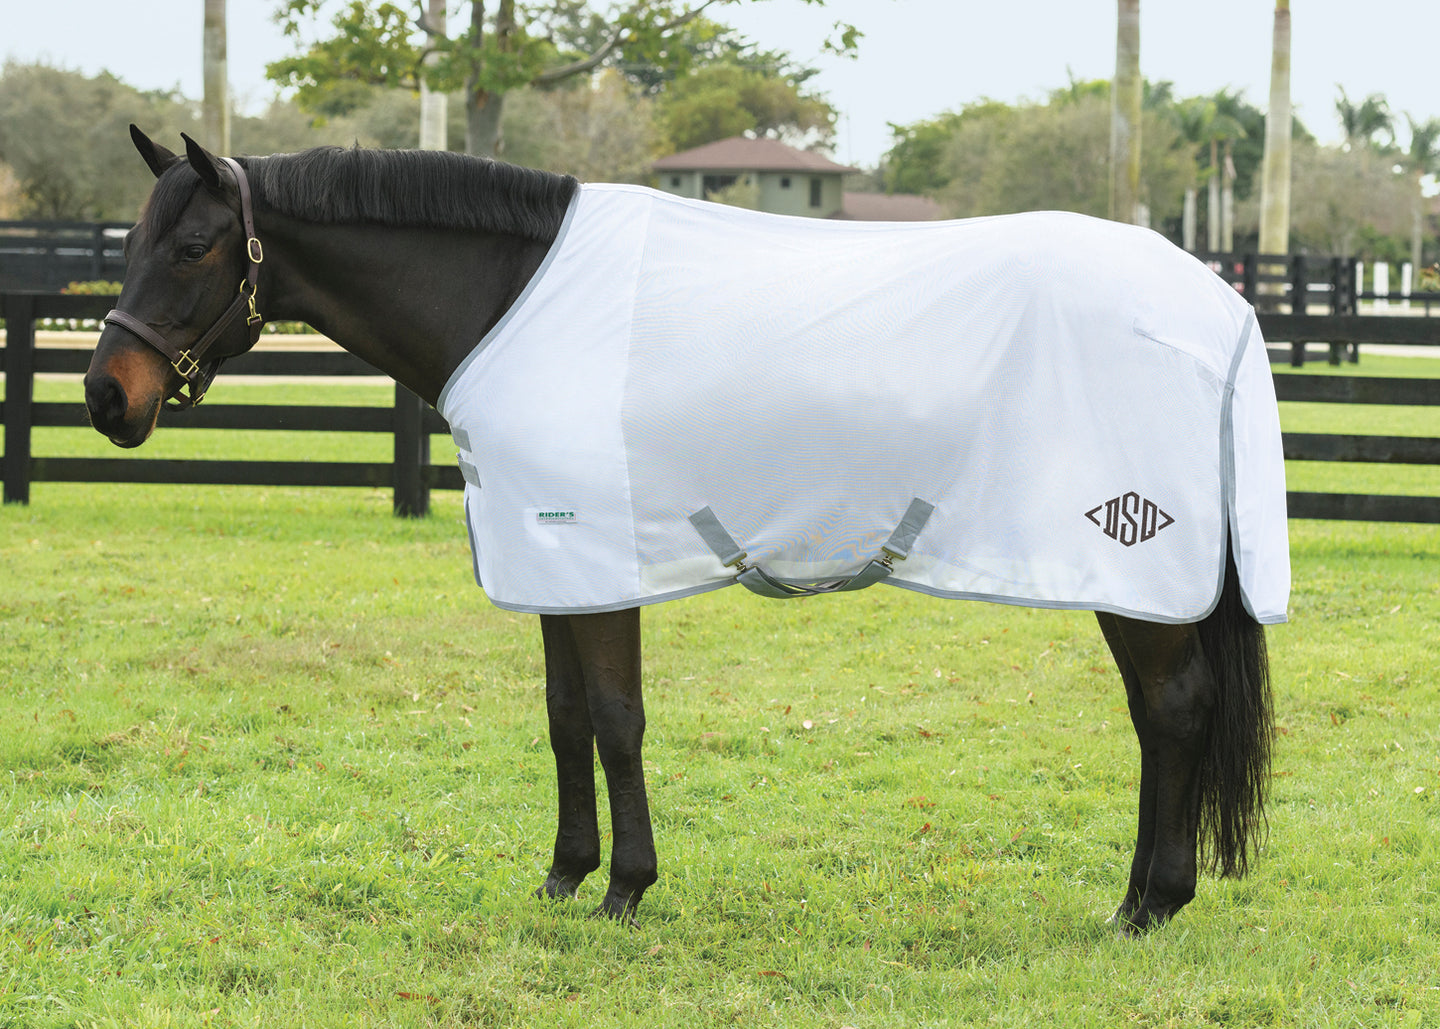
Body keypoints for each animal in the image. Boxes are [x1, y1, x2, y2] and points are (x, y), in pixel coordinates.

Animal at [84, 126, 1288, 935]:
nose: (105, 397)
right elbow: (566, 718)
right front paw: (565, 875)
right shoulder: (554, 558)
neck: (515, 300)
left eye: (193, 246)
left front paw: (625, 888)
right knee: (1160, 717)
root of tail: (1219, 305)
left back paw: (1149, 906)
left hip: (1131, 560)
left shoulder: (599, 559)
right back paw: (1141, 896)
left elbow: (617, 719)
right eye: (134, 238)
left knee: (1173, 708)